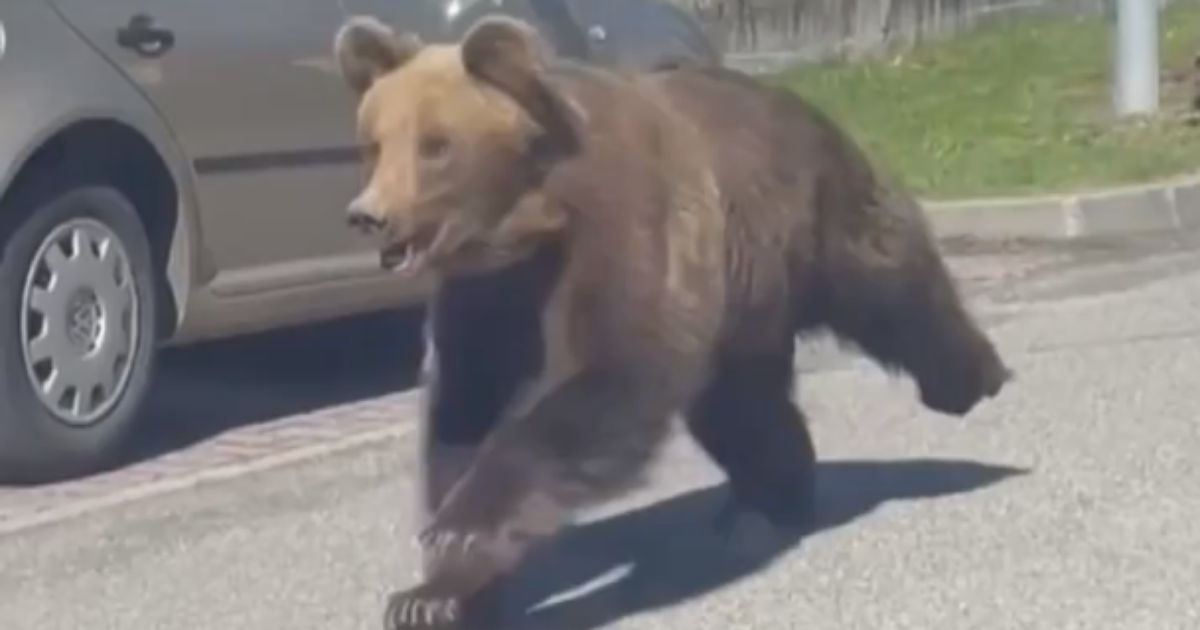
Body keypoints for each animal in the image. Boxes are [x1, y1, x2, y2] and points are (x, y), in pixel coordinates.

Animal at [332, 14, 1011, 629]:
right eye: (373, 143)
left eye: (435, 145)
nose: (369, 215)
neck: (529, 224)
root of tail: (799, 102)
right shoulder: (488, 296)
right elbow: (463, 411)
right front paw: (434, 592)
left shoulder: (622, 225)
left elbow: (613, 374)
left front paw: (461, 532)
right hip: (740, 307)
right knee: (742, 408)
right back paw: (769, 503)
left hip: (815, 220)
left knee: (893, 289)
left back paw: (972, 381)